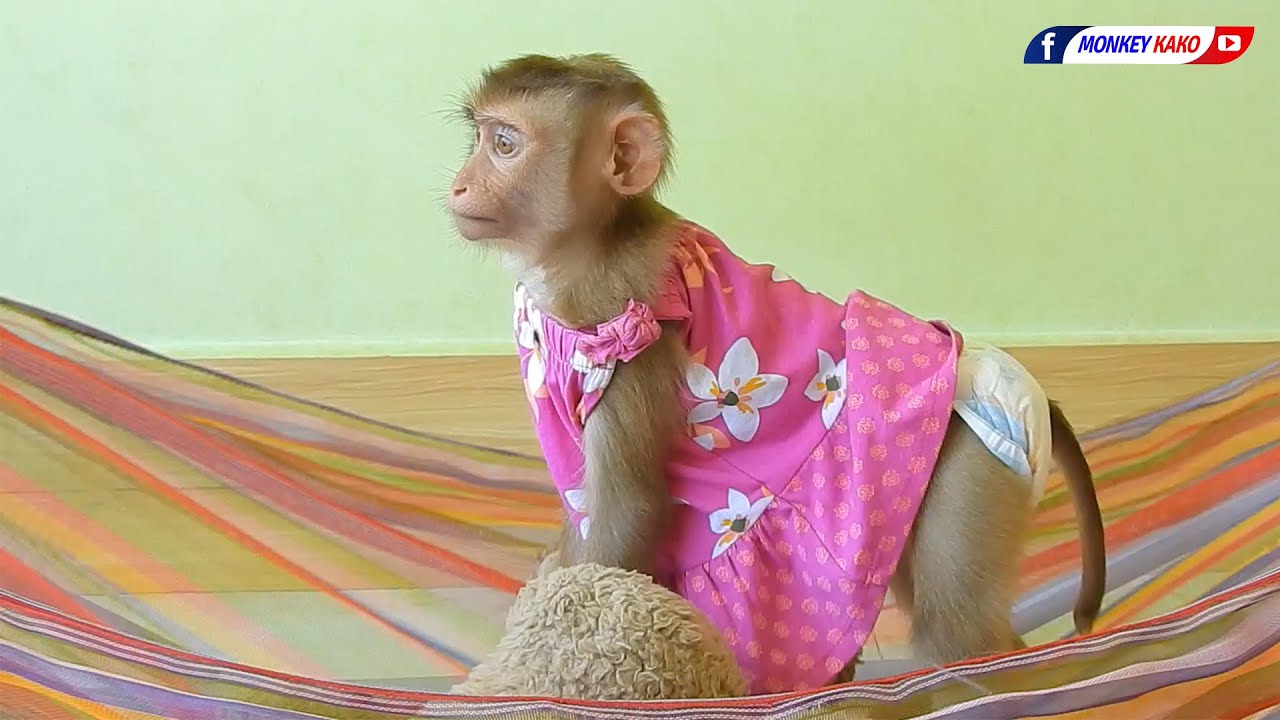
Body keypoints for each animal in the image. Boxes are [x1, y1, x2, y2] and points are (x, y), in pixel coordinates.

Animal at [446, 53, 1106, 694]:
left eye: (504, 144)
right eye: (479, 138)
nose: (458, 183)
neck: (593, 242)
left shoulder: (623, 325)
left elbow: (624, 512)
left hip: (969, 472)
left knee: (962, 633)